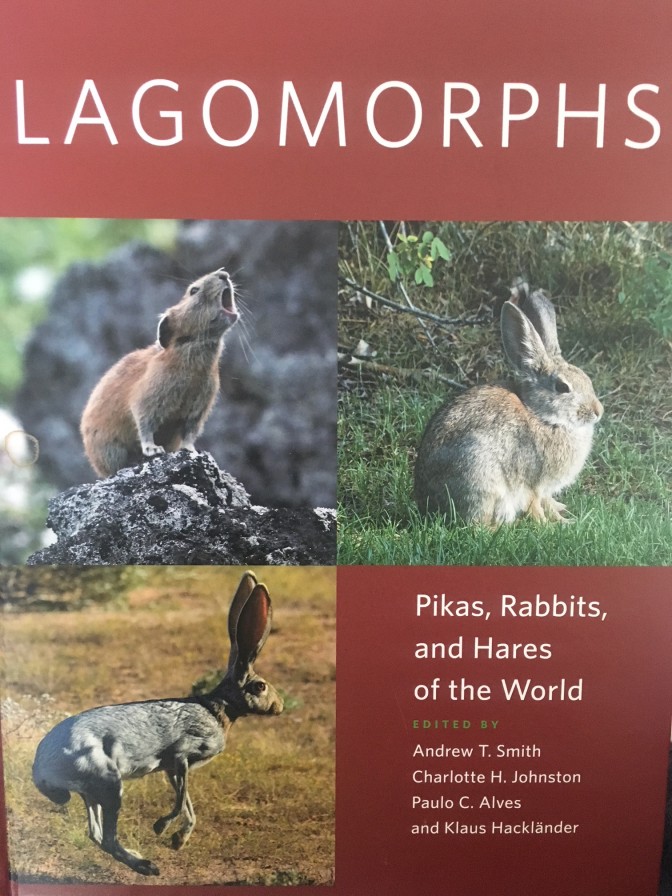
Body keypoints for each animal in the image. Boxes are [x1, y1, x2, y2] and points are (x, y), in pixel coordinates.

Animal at [32, 571, 283, 877]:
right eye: (260, 687)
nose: (280, 707)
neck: (217, 708)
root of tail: (42, 769)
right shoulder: (182, 754)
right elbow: (181, 800)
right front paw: (161, 828)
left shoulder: (174, 768)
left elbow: (187, 802)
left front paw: (178, 840)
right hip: (108, 783)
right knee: (107, 837)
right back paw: (147, 866)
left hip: (91, 792)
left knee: (95, 834)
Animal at [414, 283, 603, 526]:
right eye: (562, 387)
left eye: (587, 379)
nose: (598, 412)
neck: (542, 417)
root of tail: (426, 503)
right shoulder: (532, 482)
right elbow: (535, 505)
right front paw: (554, 525)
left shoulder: (543, 489)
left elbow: (547, 501)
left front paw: (561, 514)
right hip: (480, 475)